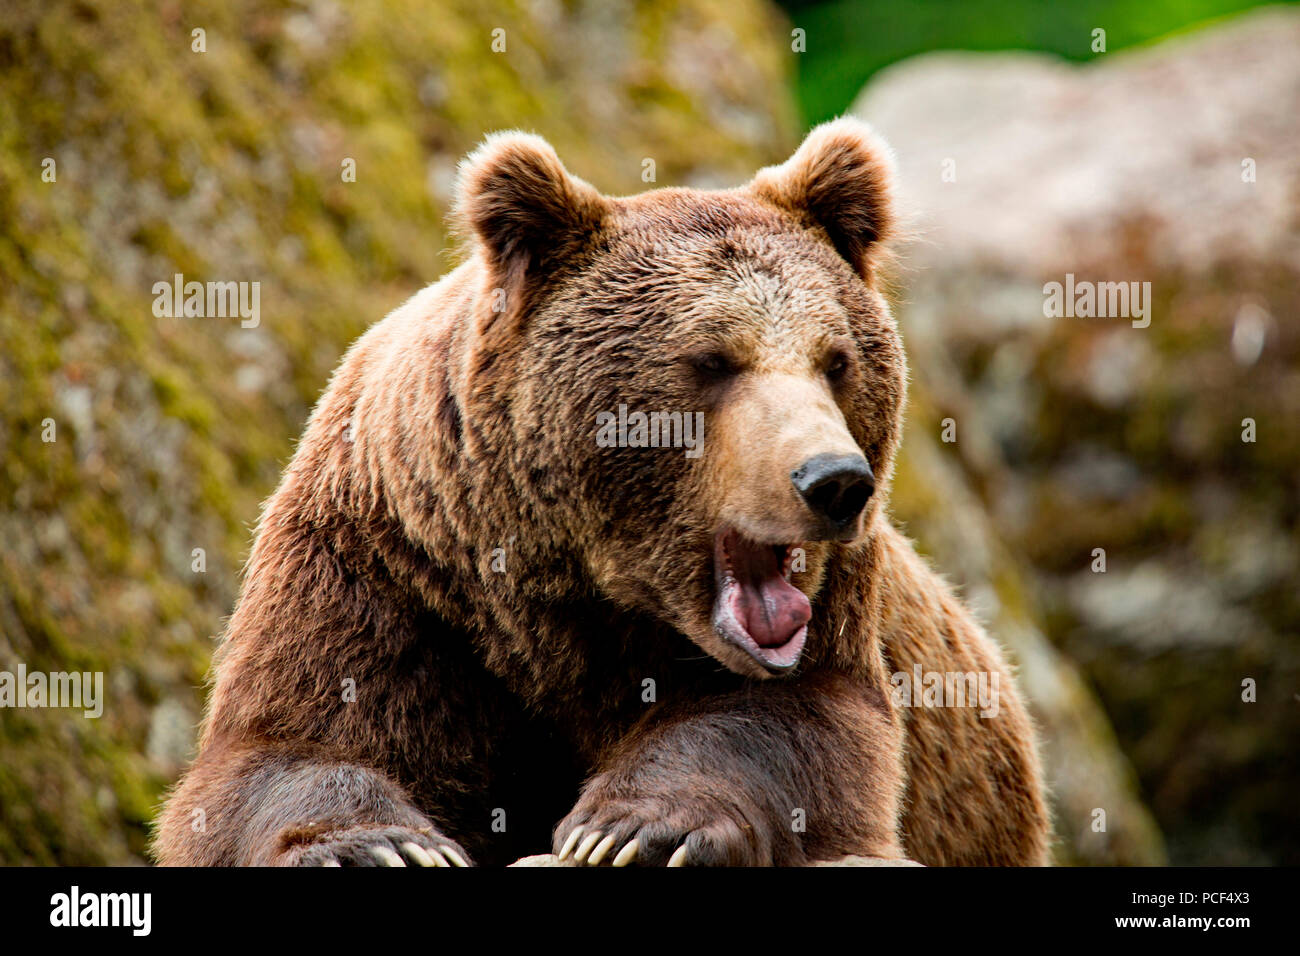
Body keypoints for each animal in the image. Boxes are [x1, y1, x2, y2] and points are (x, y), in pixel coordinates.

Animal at [153, 119, 1050, 867]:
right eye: (711, 362)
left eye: (836, 360)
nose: (834, 481)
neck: (568, 594)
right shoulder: (385, 560)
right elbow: (289, 747)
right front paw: (379, 846)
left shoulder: (835, 609)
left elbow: (802, 721)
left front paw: (633, 829)